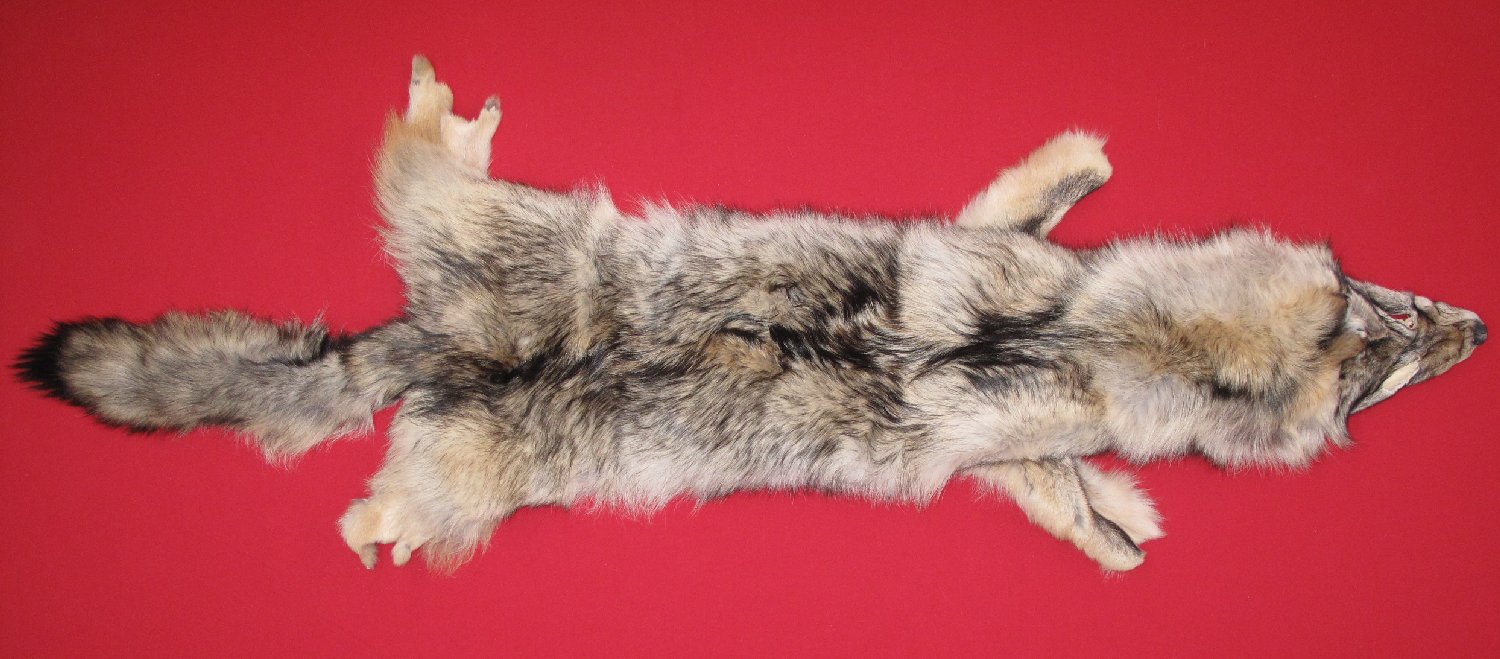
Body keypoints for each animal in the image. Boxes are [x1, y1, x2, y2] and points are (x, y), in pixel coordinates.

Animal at [15, 57, 1486, 572]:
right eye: (1384, 341)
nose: (1478, 328)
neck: (1090, 337)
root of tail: (433, 347)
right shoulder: (1011, 372)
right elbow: (1071, 493)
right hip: (483, 433)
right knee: (375, 492)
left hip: (498, 248)